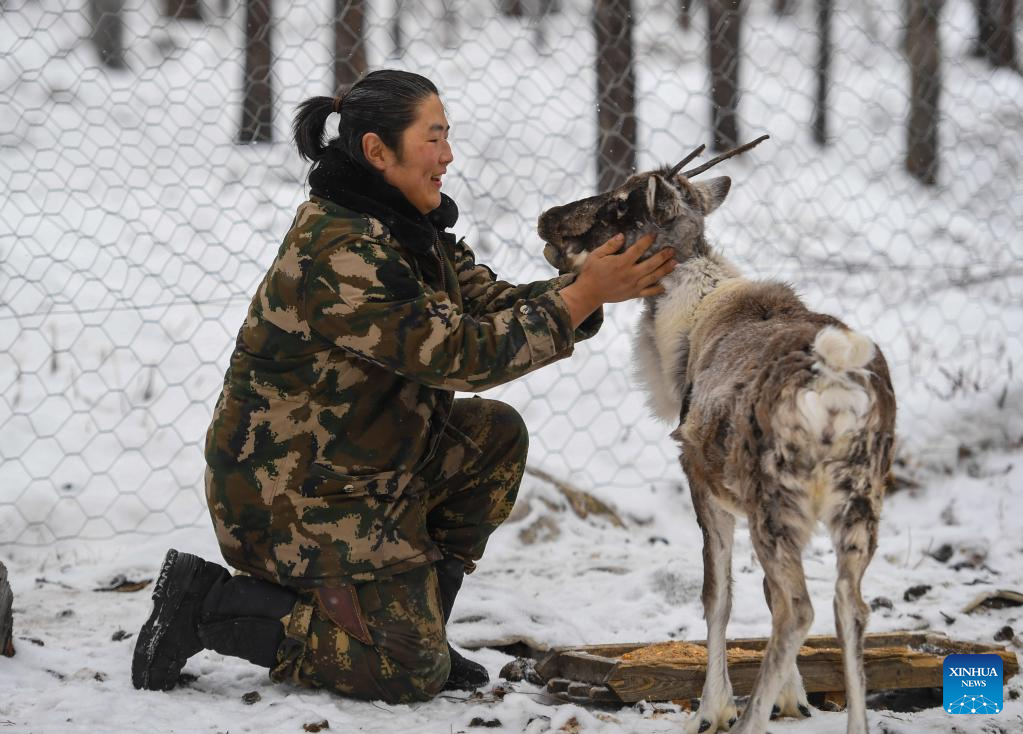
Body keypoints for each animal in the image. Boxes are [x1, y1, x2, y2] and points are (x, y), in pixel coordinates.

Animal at [537, 137, 897, 734]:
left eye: (617, 206)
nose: (546, 218)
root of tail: (836, 386)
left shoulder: (704, 483)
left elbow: (718, 598)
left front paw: (715, 708)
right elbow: (762, 597)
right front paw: (792, 699)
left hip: (778, 498)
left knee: (800, 608)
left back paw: (749, 721)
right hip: (860, 503)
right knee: (851, 607)